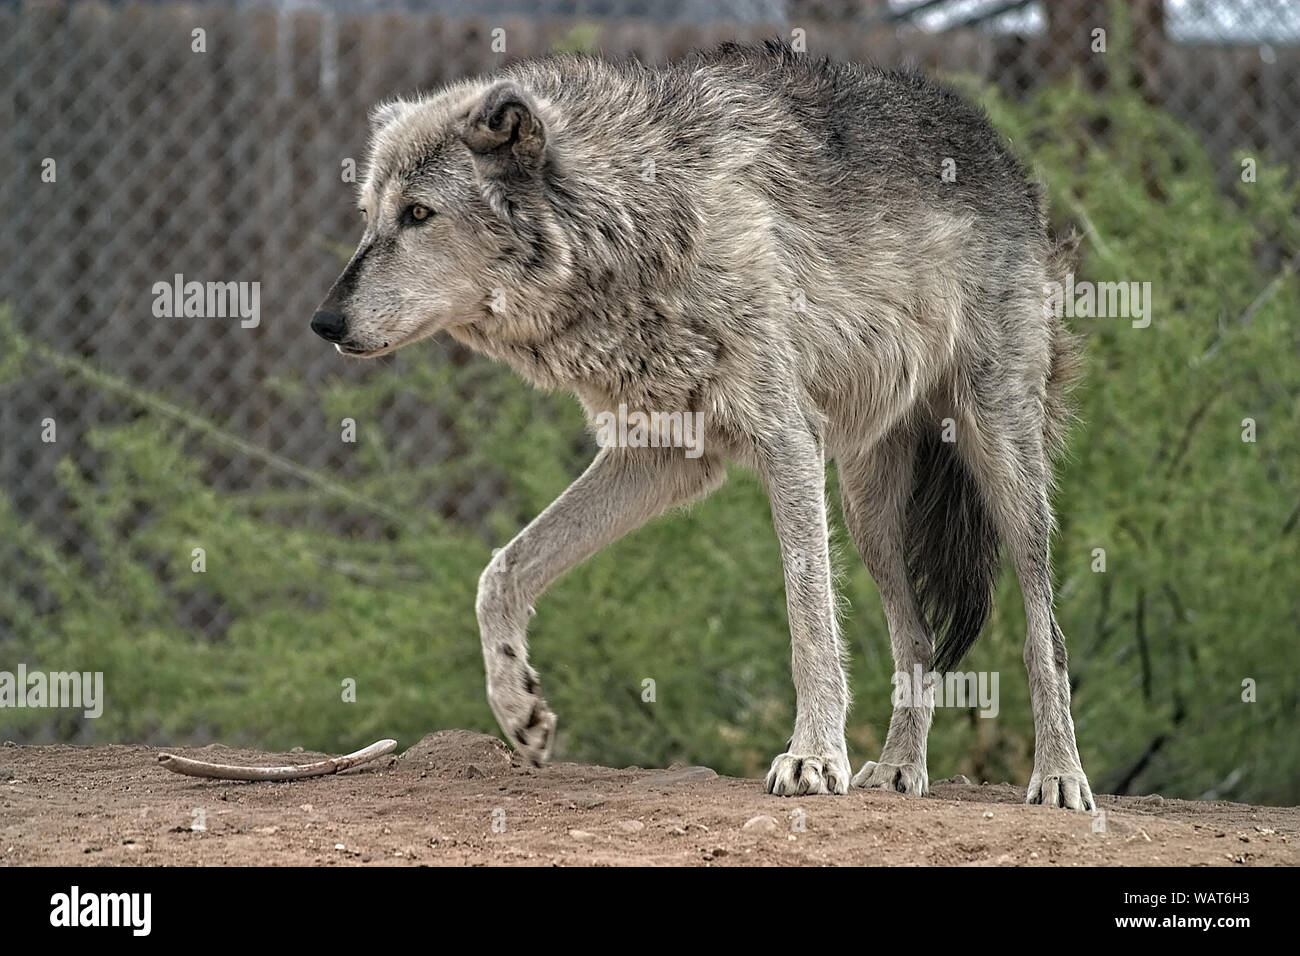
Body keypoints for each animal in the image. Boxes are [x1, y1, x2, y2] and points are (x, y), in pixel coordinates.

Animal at [311, 40, 1093, 808]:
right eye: (368, 214)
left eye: (418, 214)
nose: (324, 322)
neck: (634, 220)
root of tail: (998, 147)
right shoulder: (663, 454)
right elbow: (500, 571)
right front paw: (517, 707)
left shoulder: (786, 439)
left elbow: (809, 621)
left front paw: (813, 758)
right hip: (869, 513)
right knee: (920, 639)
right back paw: (900, 770)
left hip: (1001, 459)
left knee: (1045, 632)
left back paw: (1059, 776)